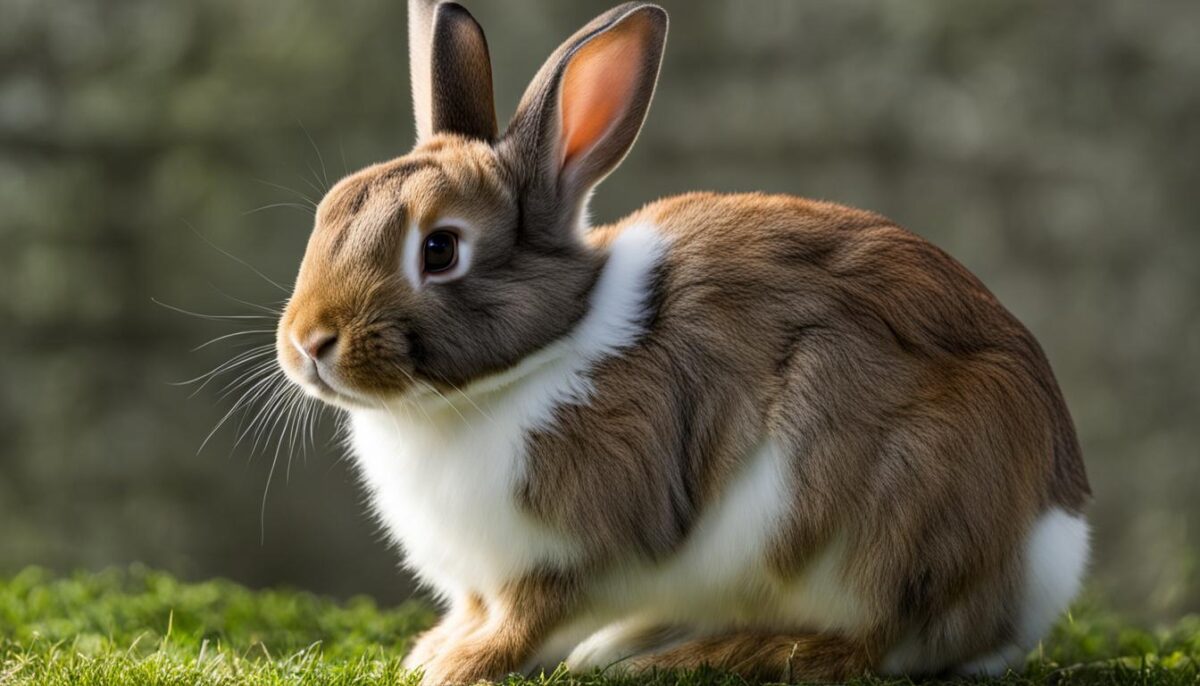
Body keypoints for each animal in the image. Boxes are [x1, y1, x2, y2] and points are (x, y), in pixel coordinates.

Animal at [274, 1, 1091, 683]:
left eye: (440, 250)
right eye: (330, 209)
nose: (308, 343)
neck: (537, 356)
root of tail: (1045, 554)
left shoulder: (562, 556)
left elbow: (526, 618)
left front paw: (457, 664)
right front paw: (435, 646)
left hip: (881, 522)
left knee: (871, 645)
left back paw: (687, 655)